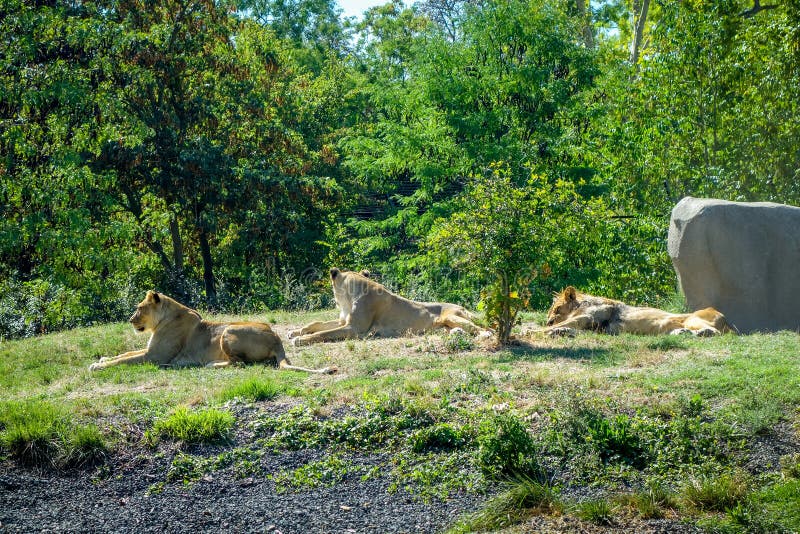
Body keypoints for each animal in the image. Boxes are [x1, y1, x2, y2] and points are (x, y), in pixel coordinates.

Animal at [89, 291, 334, 373]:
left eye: (139, 308)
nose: (130, 320)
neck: (164, 319)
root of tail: (277, 339)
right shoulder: (150, 351)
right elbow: (125, 354)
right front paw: (101, 359)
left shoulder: (155, 357)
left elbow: (124, 361)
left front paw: (97, 366)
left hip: (228, 330)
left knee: (239, 363)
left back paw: (210, 364)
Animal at [288, 268, 490, 345]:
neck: (348, 298)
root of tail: (462, 306)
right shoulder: (343, 321)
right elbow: (317, 323)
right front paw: (295, 331)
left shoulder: (354, 329)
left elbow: (323, 333)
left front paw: (300, 339)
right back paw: (457, 333)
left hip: (451, 315)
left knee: (482, 328)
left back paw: (484, 335)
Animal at [542, 286, 733, 337]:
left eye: (556, 309)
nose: (548, 320)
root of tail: (727, 320)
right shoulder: (595, 328)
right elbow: (570, 329)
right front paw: (560, 332)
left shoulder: (588, 316)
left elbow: (547, 329)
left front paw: (543, 330)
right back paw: (680, 333)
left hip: (694, 318)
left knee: (714, 332)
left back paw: (696, 333)